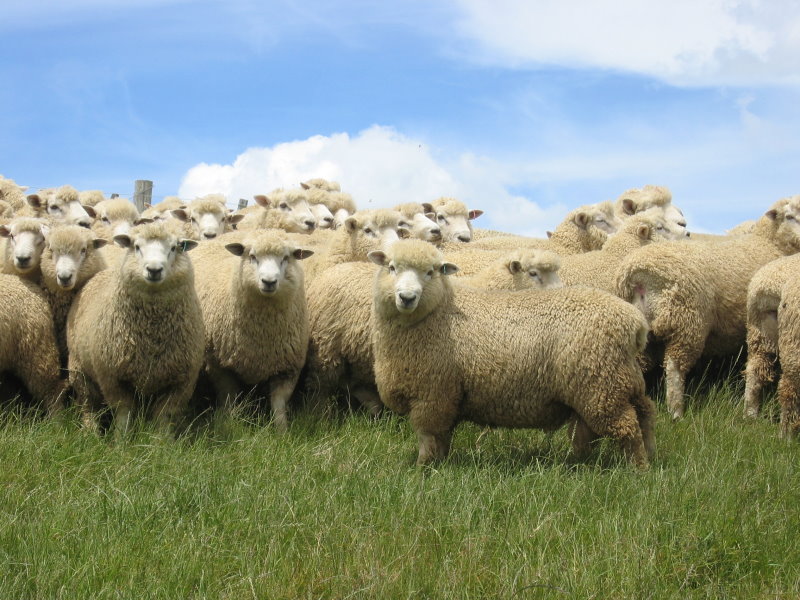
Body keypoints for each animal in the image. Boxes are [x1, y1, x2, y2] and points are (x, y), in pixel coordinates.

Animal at [66, 221, 204, 434]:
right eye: (136, 246)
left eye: (175, 247)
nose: (154, 269)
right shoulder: (112, 378)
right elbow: (125, 414)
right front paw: (121, 439)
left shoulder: (181, 383)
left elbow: (163, 418)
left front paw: (162, 441)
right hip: (79, 370)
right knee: (89, 405)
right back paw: (91, 433)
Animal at [191, 231, 312, 430]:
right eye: (253, 256)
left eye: (286, 258)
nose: (269, 282)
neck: (262, 333)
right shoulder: (220, 365)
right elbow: (229, 397)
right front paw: (229, 423)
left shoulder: (288, 368)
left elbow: (279, 404)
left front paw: (282, 431)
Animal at [368, 239, 655, 468]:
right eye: (391, 268)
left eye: (430, 272)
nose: (407, 297)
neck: (440, 309)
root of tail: (635, 322)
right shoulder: (447, 397)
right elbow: (442, 438)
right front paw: (441, 464)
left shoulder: (432, 395)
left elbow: (428, 439)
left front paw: (424, 470)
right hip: (621, 381)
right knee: (643, 415)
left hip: (601, 386)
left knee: (627, 427)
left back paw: (638, 469)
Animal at [616, 195, 800, 420]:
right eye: (790, 216)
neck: (768, 242)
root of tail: (636, 274)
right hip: (686, 322)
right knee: (675, 369)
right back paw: (676, 413)